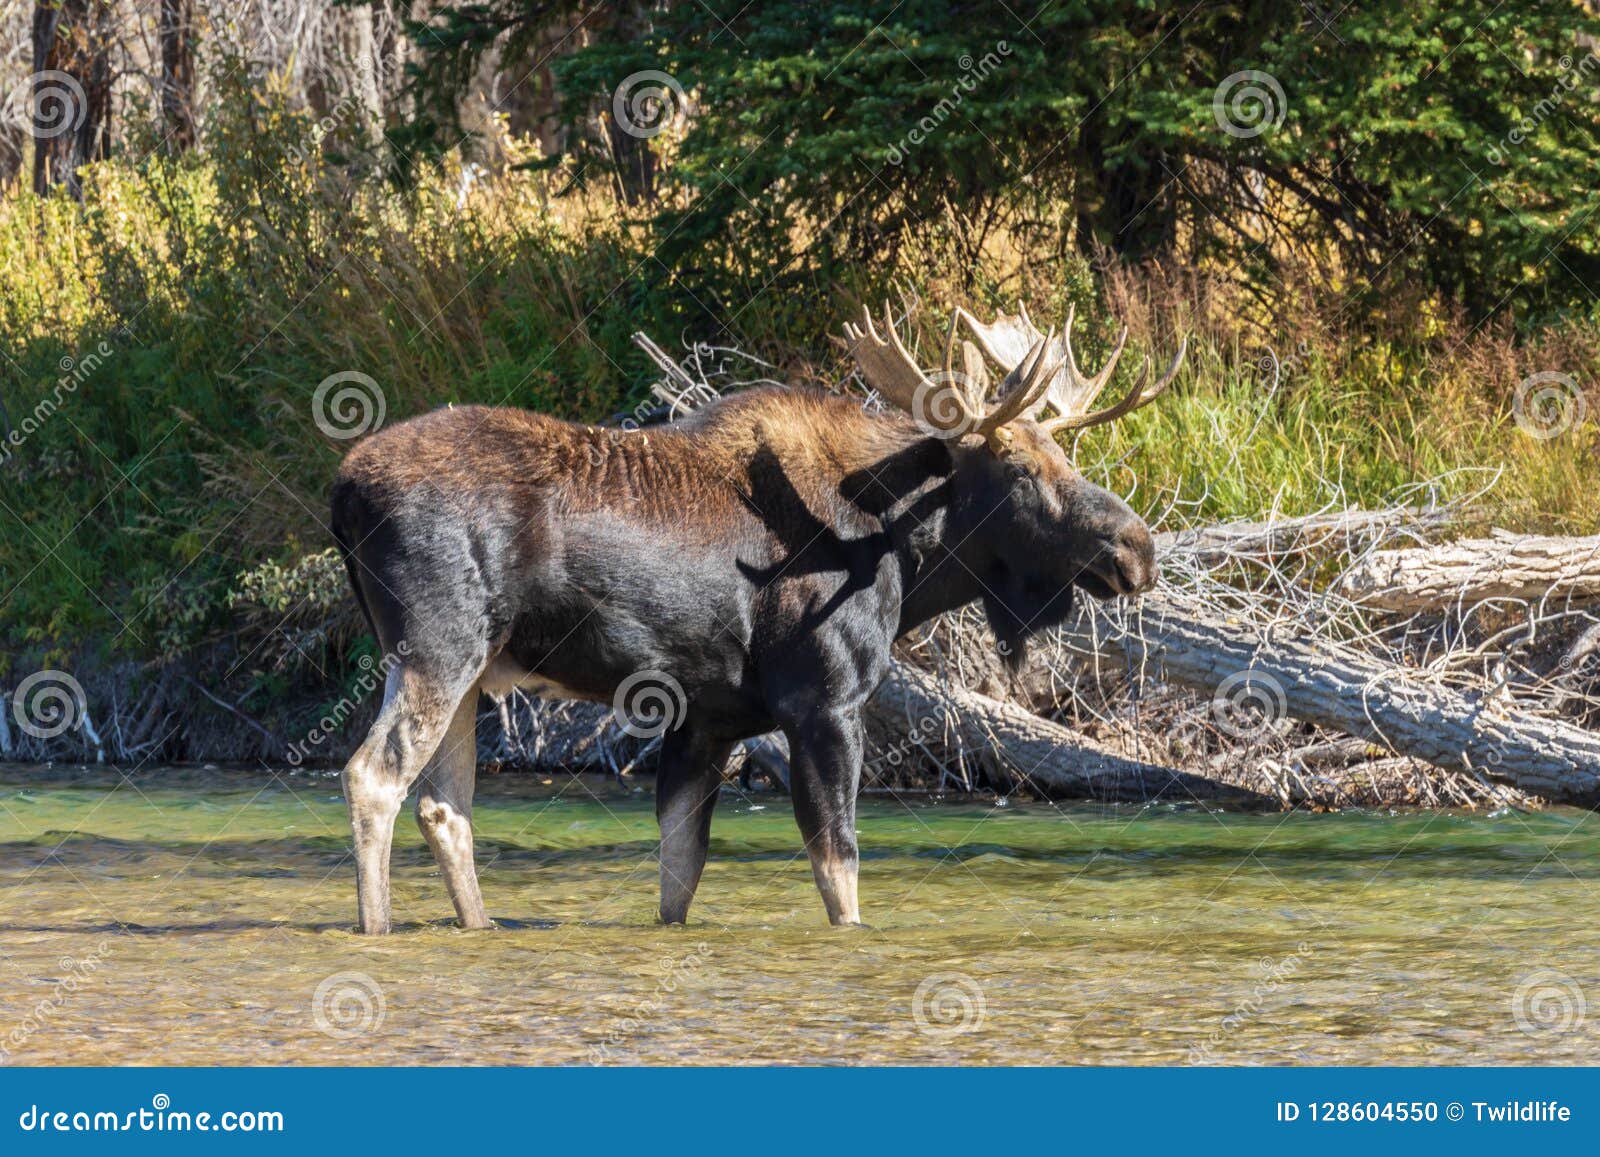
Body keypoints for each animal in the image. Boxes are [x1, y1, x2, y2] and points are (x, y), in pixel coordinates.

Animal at [329, 300, 1185, 932]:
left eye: (1065, 455)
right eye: (1018, 467)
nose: (1137, 546)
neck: (902, 550)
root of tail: (341, 489)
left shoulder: (707, 718)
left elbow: (680, 875)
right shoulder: (825, 701)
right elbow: (839, 871)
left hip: (471, 668)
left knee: (444, 804)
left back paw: (476, 926)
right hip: (439, 645)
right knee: (373, 774)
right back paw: (375, 929)